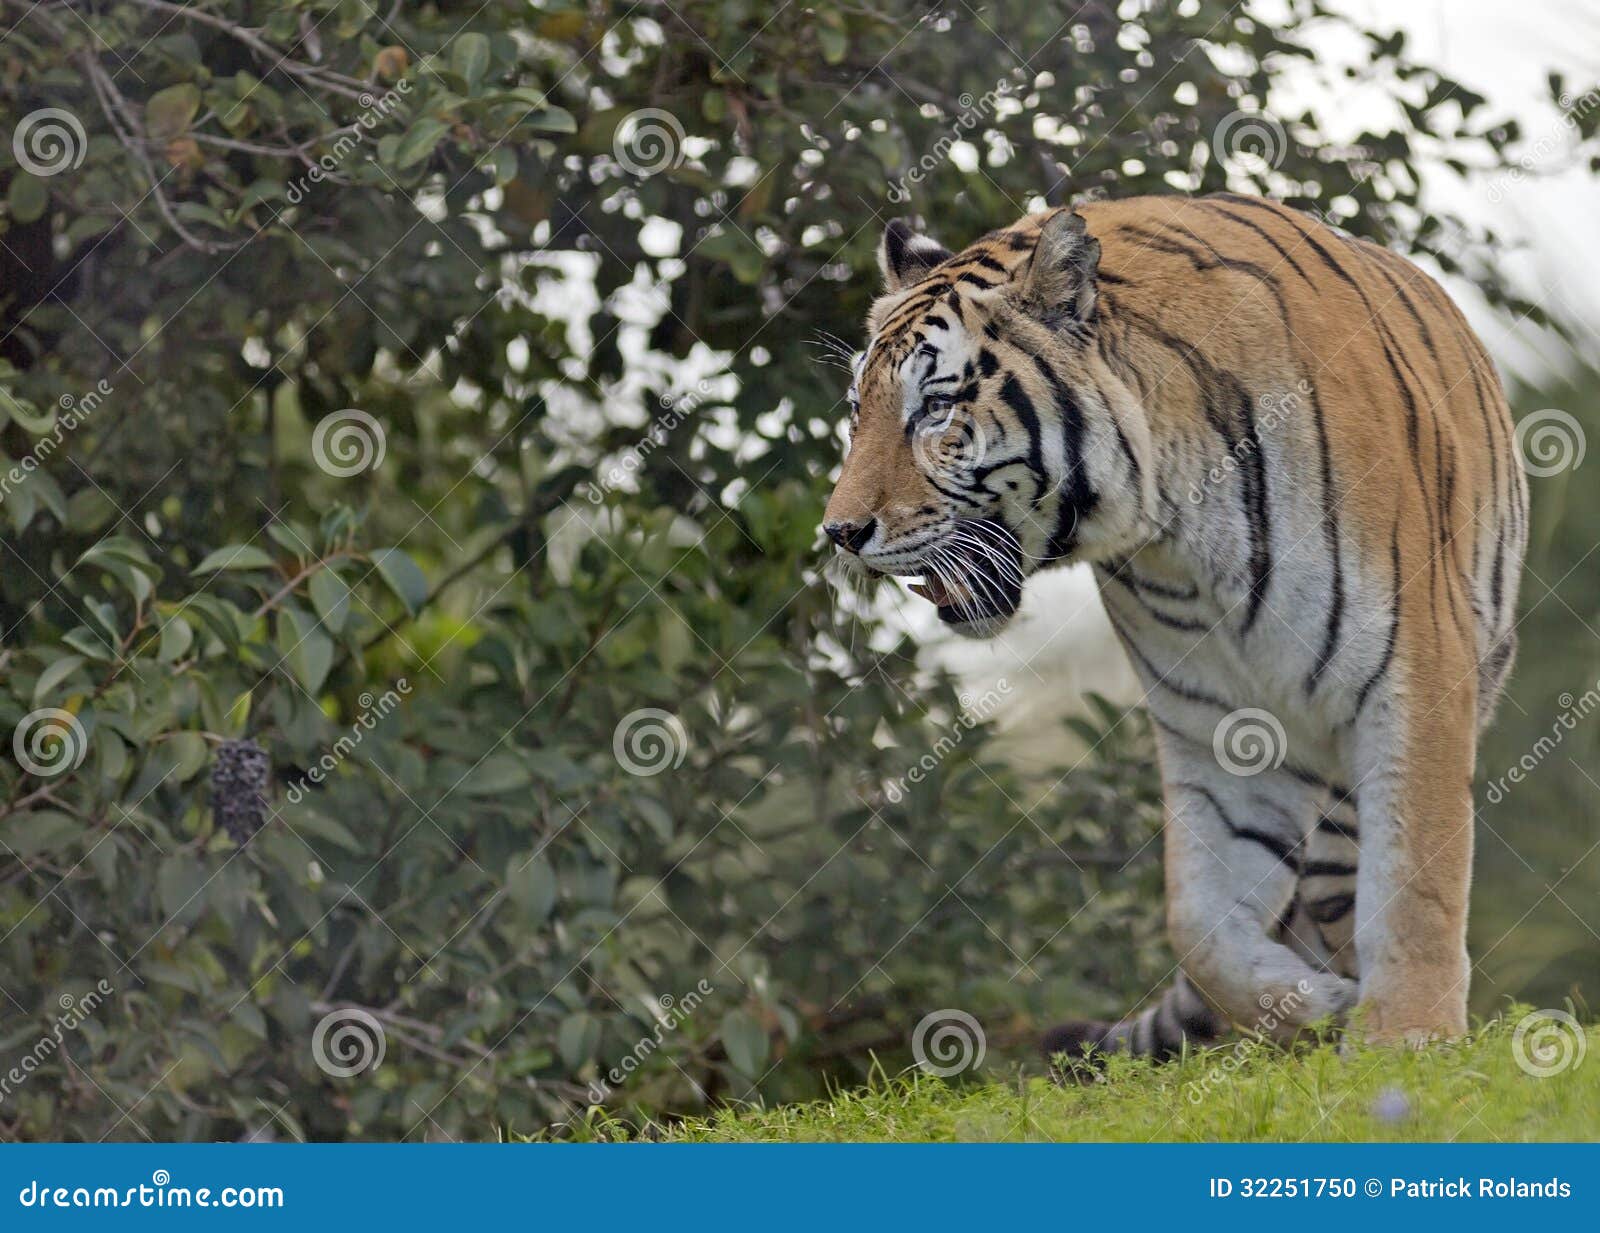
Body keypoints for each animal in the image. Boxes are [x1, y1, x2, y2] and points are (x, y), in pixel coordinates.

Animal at [821, 194, 1528, 1056]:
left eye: (935, 407)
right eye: (857, 414)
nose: (839, 531)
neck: (1179, 522)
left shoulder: (1415, 676)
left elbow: (1416, 879)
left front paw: (1407, 1039)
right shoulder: (1219, 724)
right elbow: (1195, 920)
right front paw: (1310, 1005)